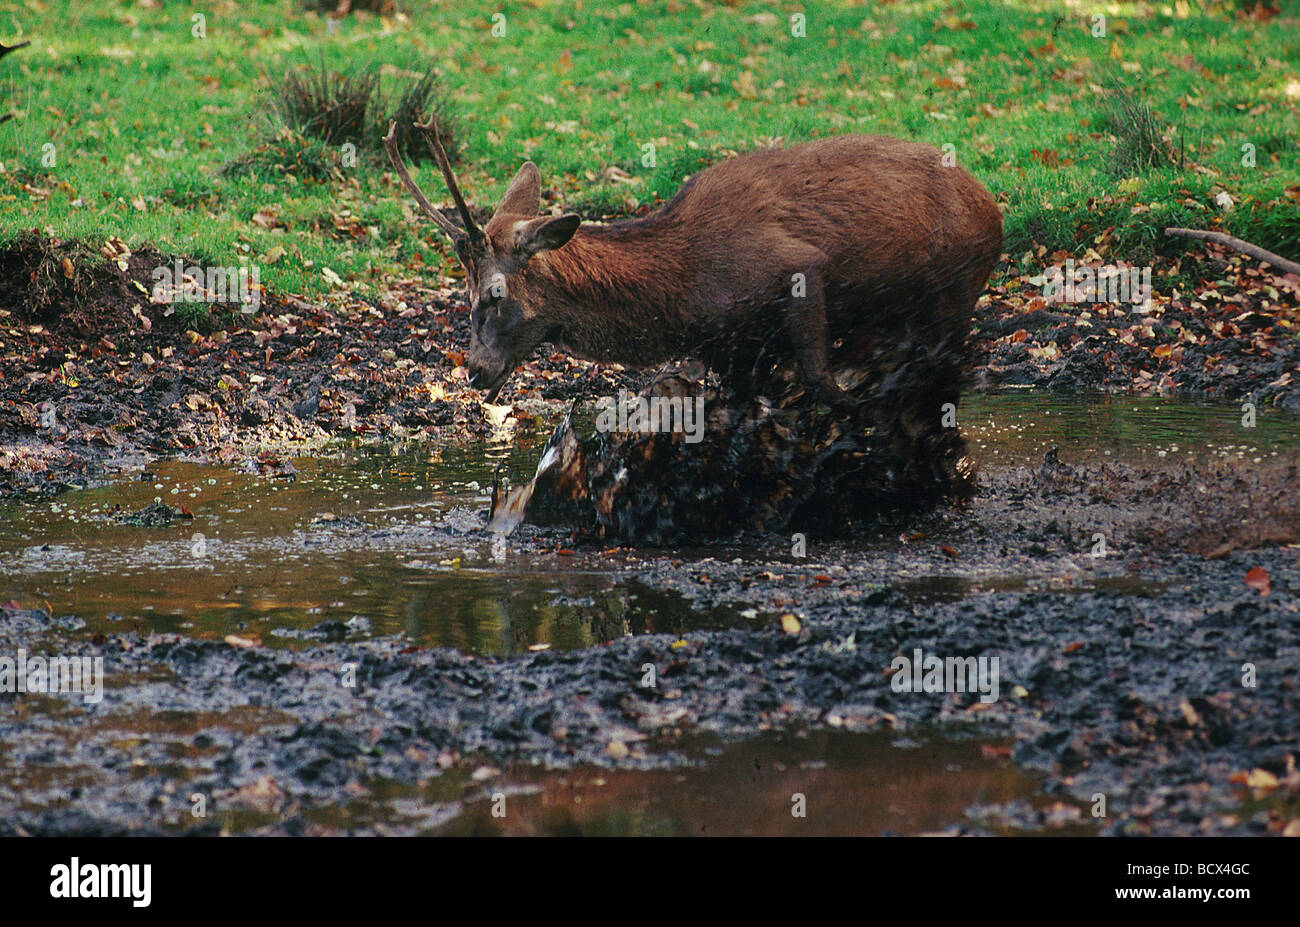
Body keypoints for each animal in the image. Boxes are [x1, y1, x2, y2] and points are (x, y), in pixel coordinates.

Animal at [383, 117, 1002, 413]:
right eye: (462, 298)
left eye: (493, 295)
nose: (474, 370)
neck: (681, 294)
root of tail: (991, 204)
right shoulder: (730, 349)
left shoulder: (800, 267)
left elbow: (822, 383)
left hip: (956, 289)